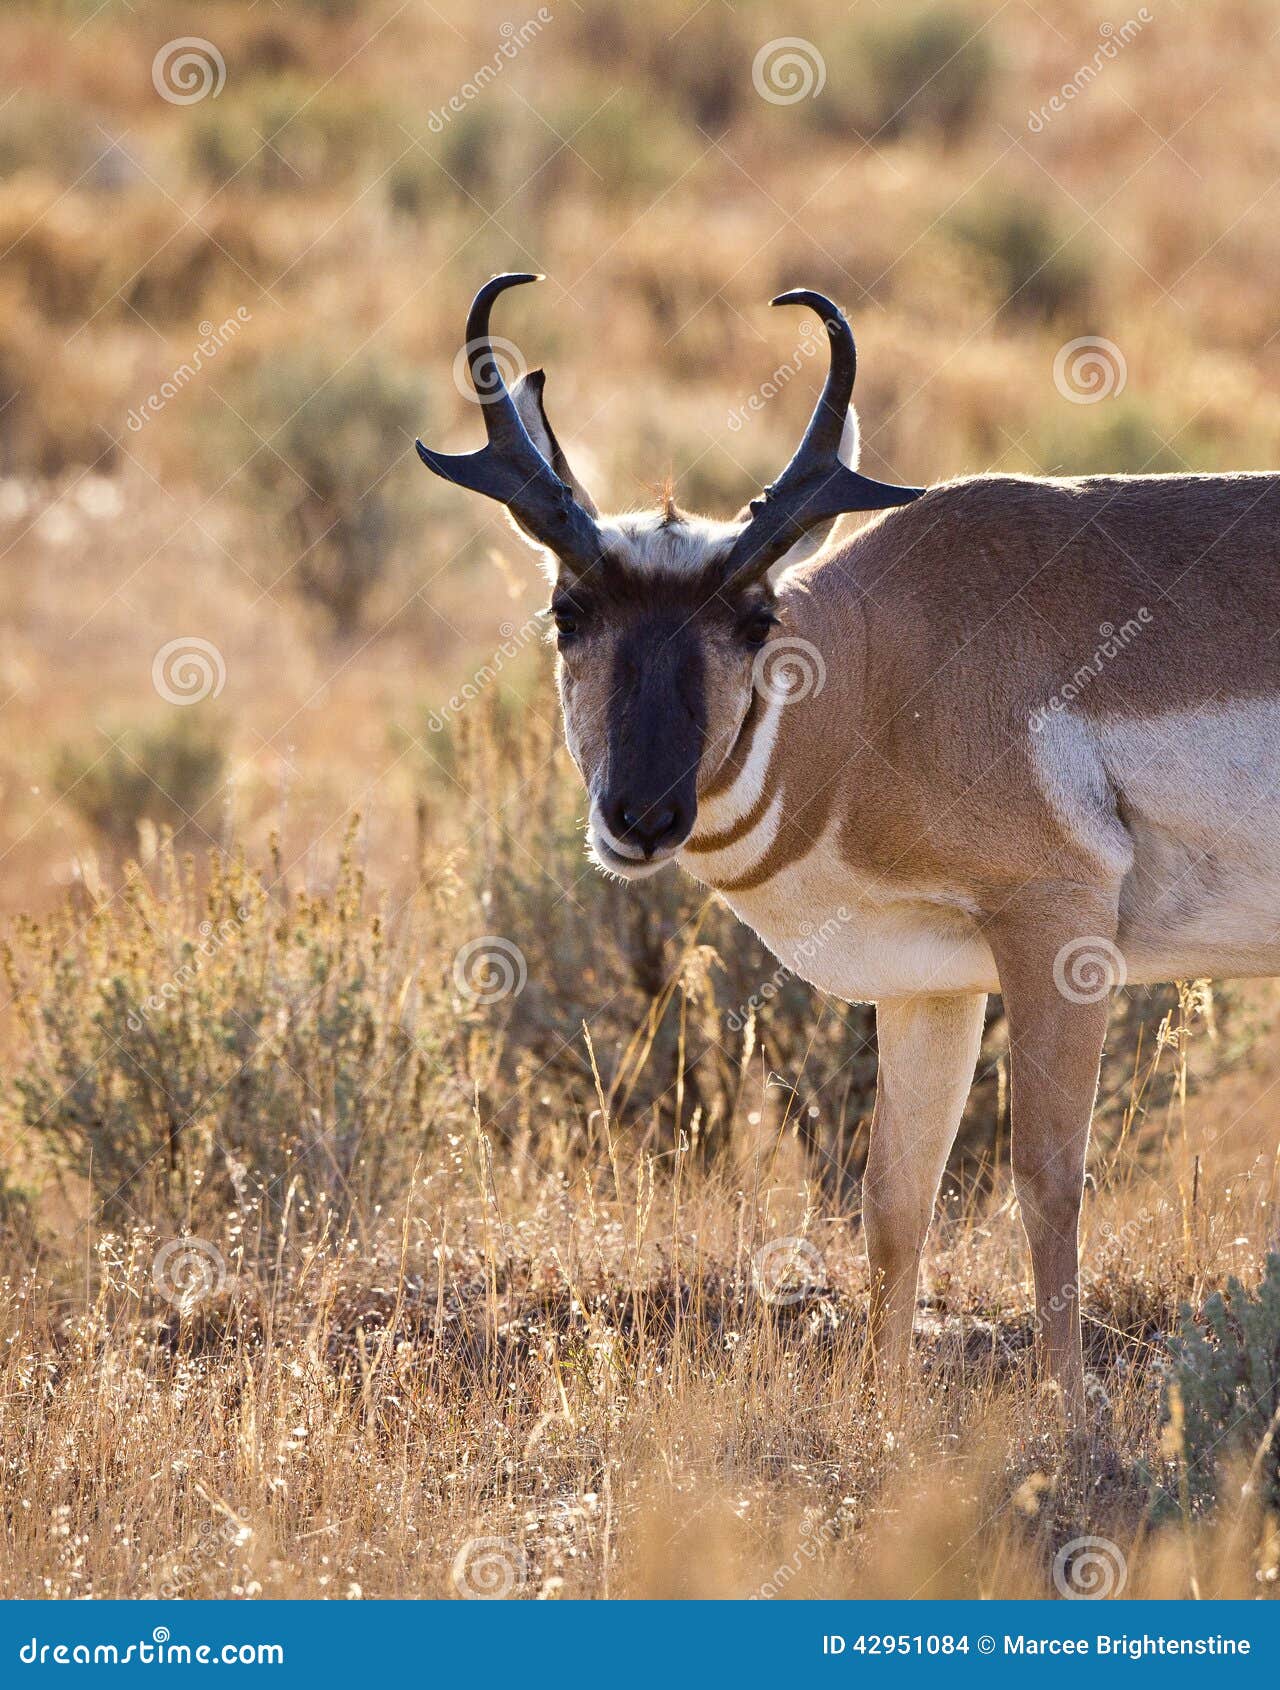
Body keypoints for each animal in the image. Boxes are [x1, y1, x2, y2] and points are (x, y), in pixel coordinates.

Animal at [418, 272, 1280, 1416]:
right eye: (568, 609)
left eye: (754, 616)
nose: (641, 817)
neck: (886, 668)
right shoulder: (931, 986)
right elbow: (894, 1199)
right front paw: (885, 1418)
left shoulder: (1056, 928)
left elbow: (1046, 1176)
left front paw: (1063, 1415)